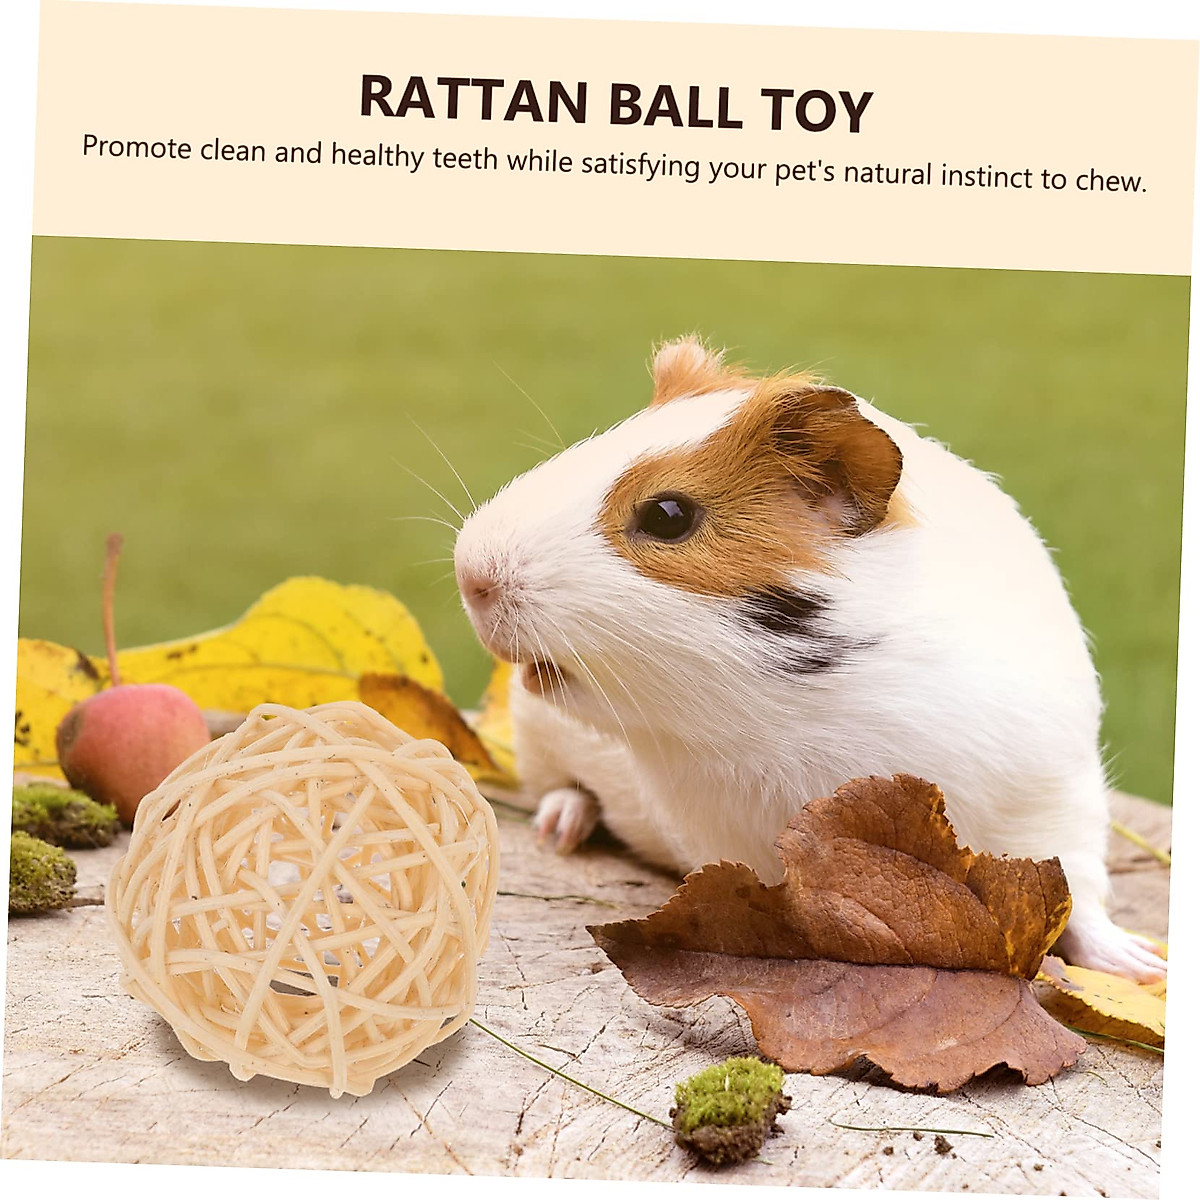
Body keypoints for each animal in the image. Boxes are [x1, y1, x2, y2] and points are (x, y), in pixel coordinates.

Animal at [453, 335, 1167, 982]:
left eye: (668, 514)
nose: (472, 575)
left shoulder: (1057, 793)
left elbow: (1079, 895)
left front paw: (1142, 969)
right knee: (558, 788)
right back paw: (559, 830)